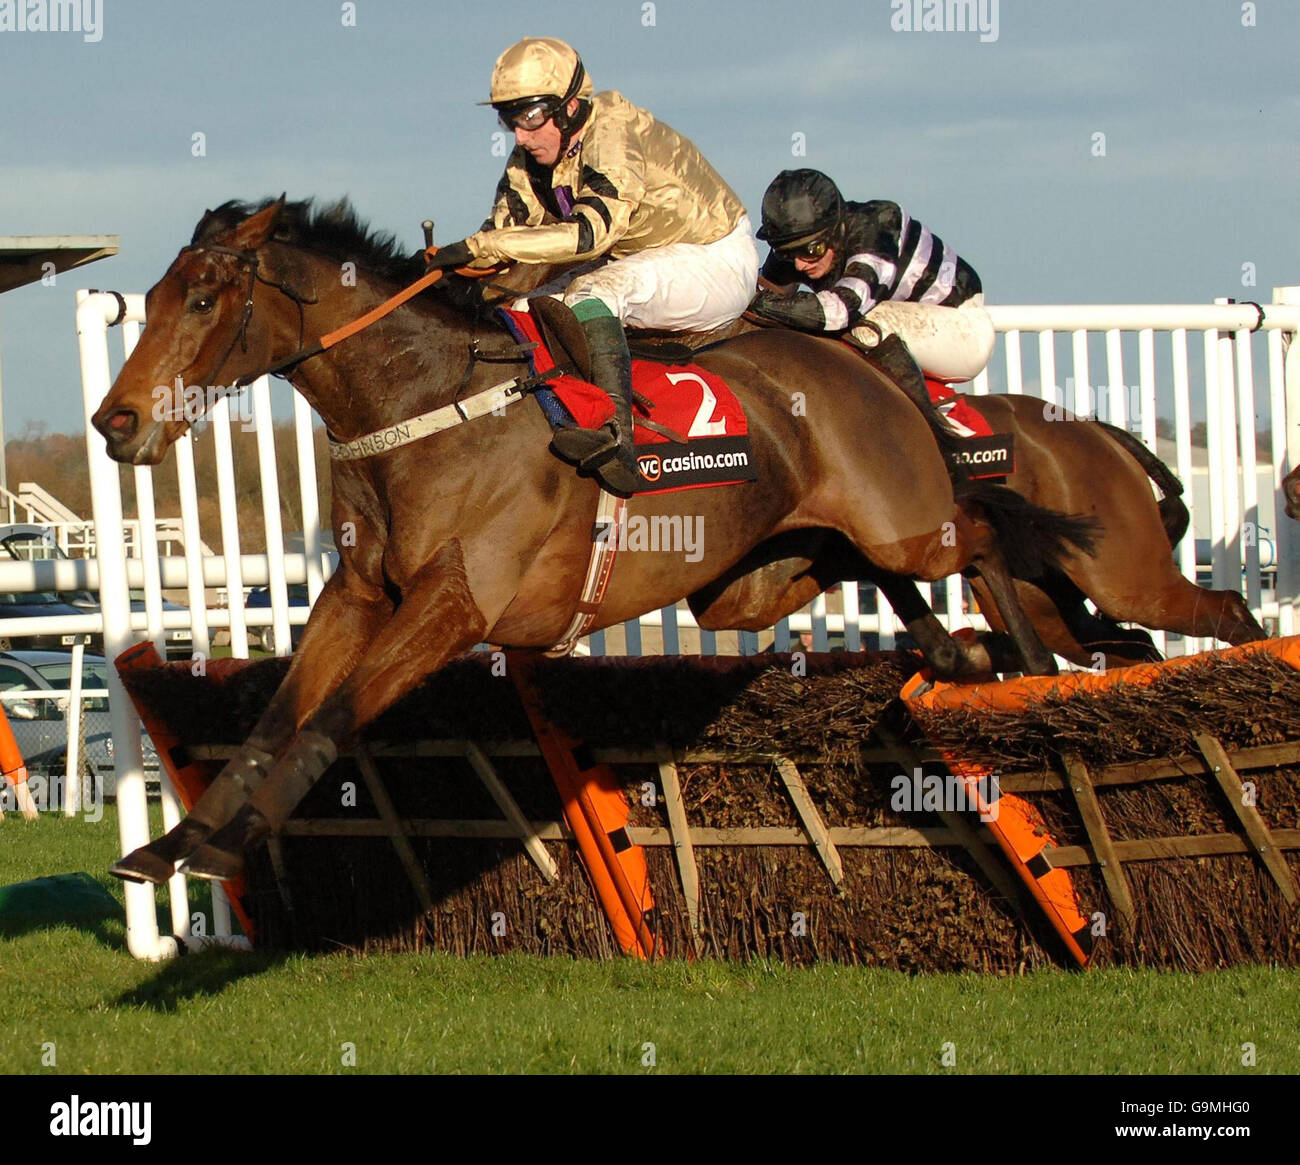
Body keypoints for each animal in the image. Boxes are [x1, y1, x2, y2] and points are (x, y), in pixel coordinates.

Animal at [92, 196, 1088, 885]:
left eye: (204, 298)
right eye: (152, 297)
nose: (114, 422)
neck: (425, 404)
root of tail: (857, 350)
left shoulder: (455, 605)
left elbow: (332, 716)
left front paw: (234, 842)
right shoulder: (359, 593)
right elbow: (275, 716)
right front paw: (178, 840)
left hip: (903, 522)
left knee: (982, 533)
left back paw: (1031, 661)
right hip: (750, 582)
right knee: (867, 569)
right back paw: (960, 654)